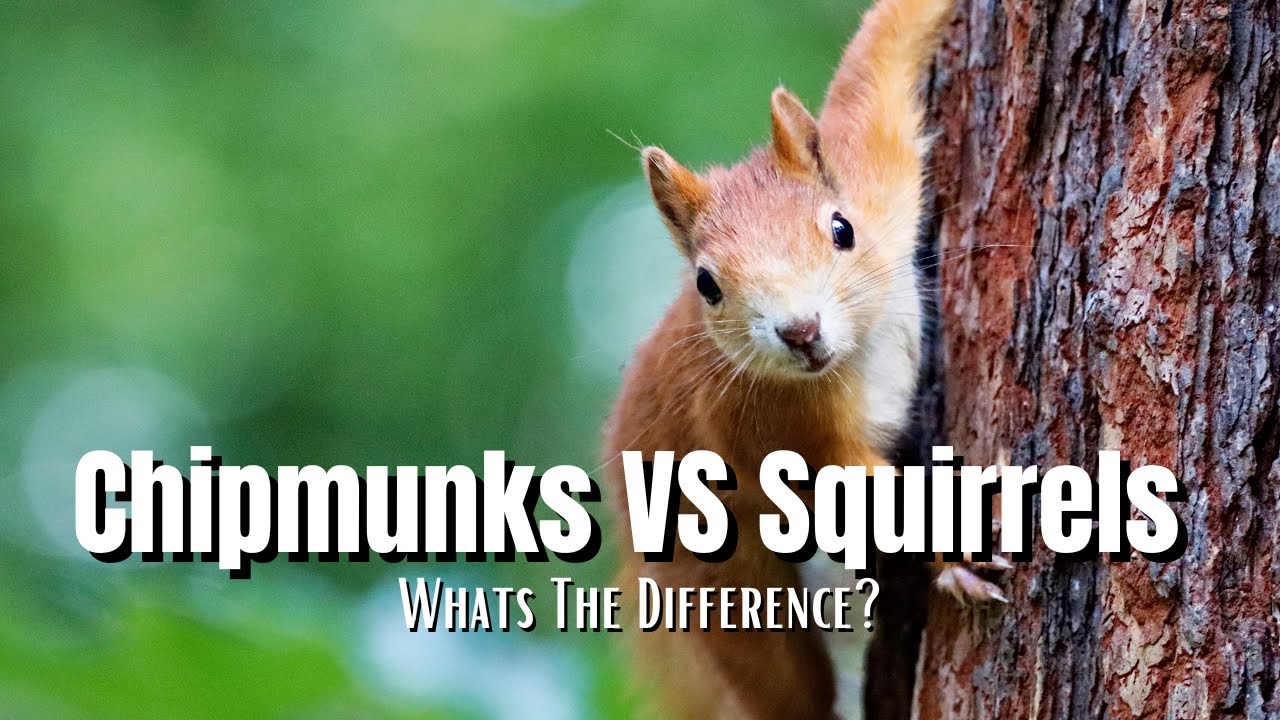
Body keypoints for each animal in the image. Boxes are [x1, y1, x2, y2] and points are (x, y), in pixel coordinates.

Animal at [603, 0, 1007, 717]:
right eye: (707, 284)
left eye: (842, 228)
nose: (800, 330)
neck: (854, 355)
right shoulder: (767, 429)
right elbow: (865, 494)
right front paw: (955, 545)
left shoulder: (876, 169)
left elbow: (877, 62)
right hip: (716, 581)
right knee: (787, 687)